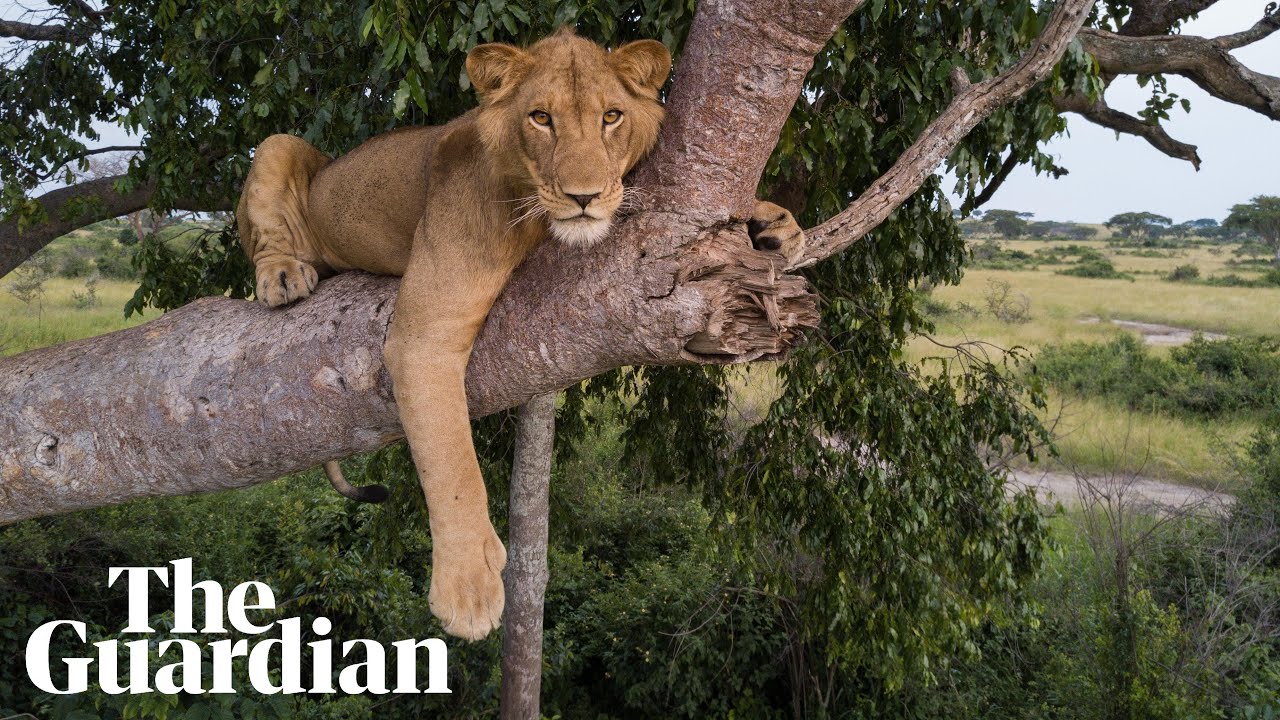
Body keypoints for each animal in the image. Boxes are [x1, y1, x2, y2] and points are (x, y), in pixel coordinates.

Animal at [236, 28, 806, 641]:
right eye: (540, 118)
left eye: (611, 116)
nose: (584, 197)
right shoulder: (423, 337)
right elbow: (452, 460)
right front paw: (467, 587)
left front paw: (773, 222)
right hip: (278, 147)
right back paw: (283, 276)